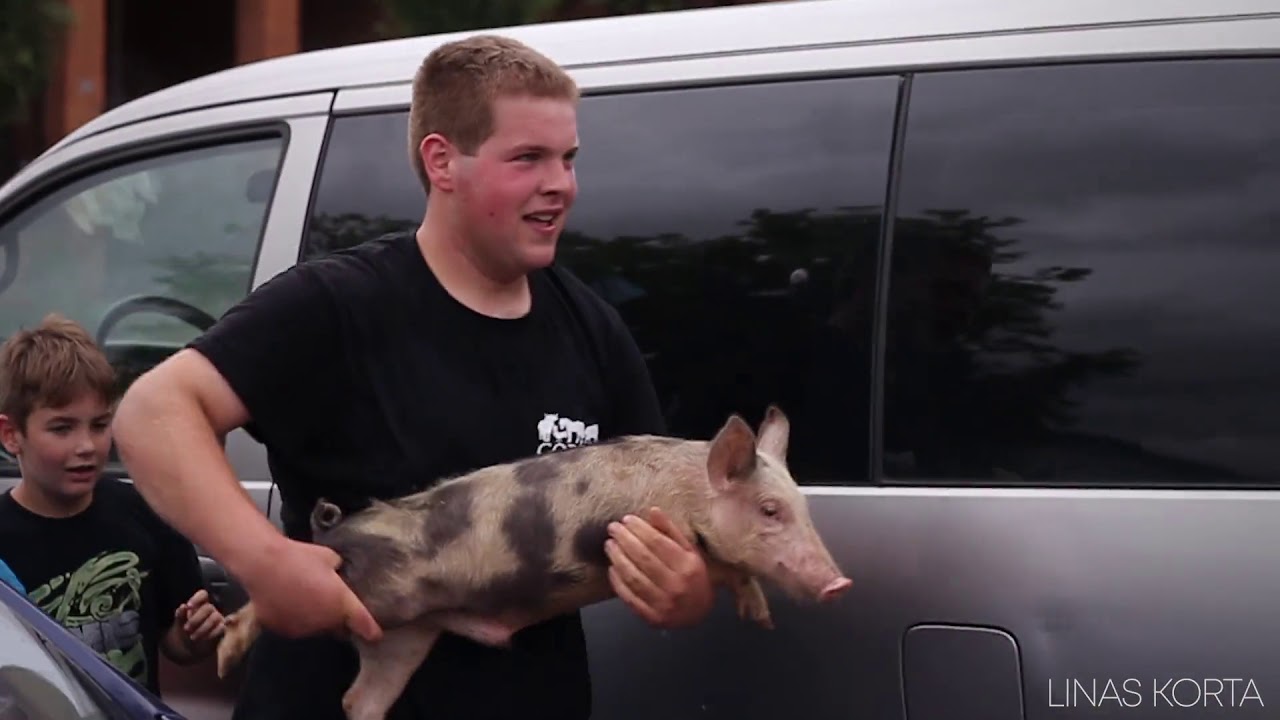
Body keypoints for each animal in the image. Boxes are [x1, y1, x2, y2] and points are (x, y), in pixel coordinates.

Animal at [214, 405, 852, 720]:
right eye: (769, 510)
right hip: (366, 593)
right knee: (265, 604)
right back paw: (223, 658)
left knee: (357, 701)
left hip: (401, 636)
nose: (840, 584)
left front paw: (760, 618)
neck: (688, 496)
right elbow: (730, 566)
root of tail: (338, 529)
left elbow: (735, 572)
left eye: (802, 505)